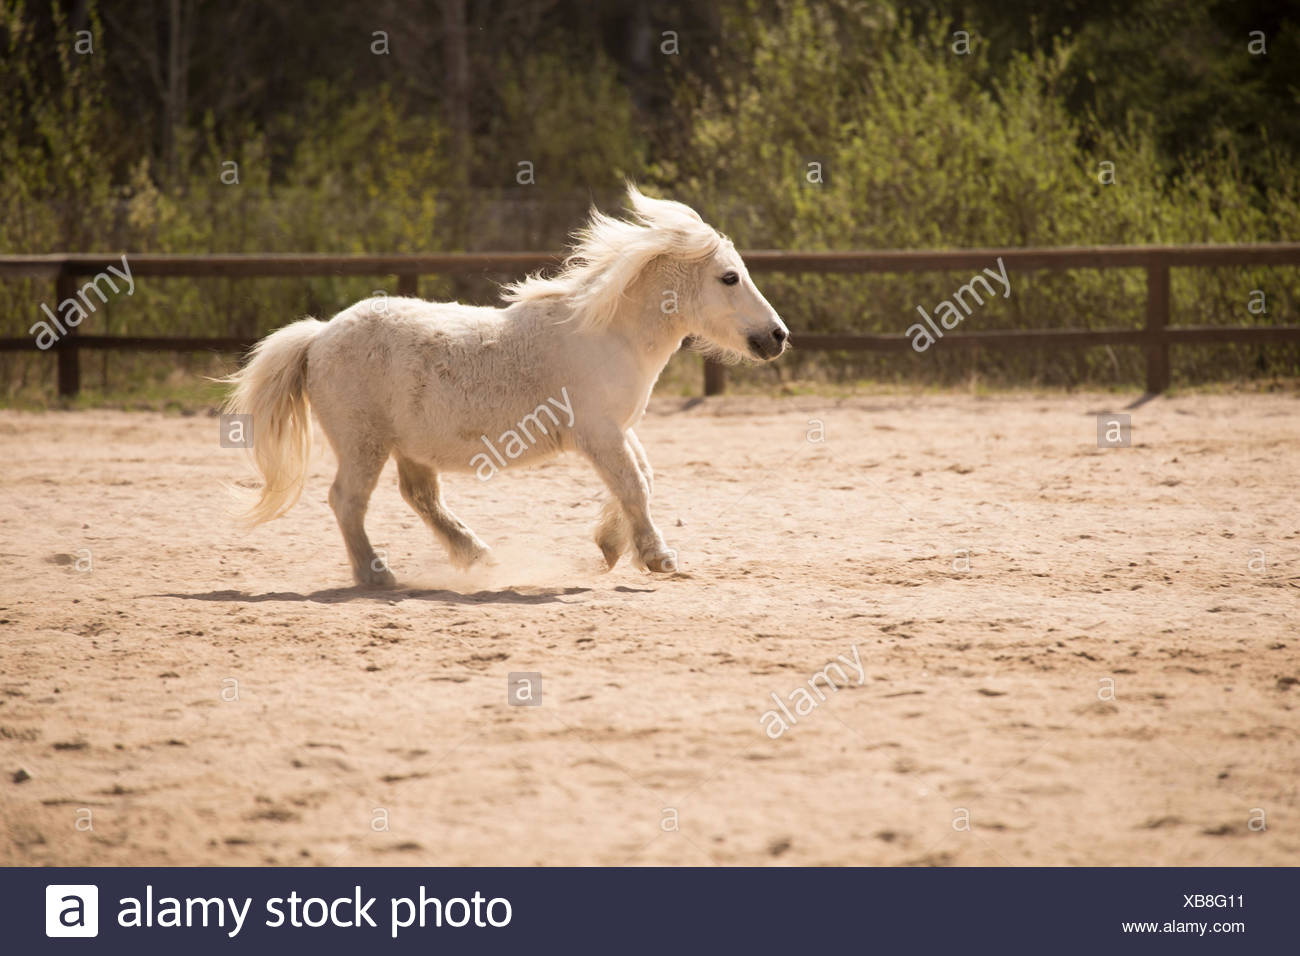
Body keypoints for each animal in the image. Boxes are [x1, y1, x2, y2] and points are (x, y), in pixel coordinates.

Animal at [222, 185, 790, 585]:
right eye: (730, 277)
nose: (778, 336)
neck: (608, 334)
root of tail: (318, 336)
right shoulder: (599, 433)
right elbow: (632, 484)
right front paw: (657, 557)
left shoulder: (618, 429)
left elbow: (641, 478)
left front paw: (611, 544)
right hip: (364, 444)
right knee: (347, 502)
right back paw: (376, 574)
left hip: (408, 447)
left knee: (420, 498)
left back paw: (477, 556)